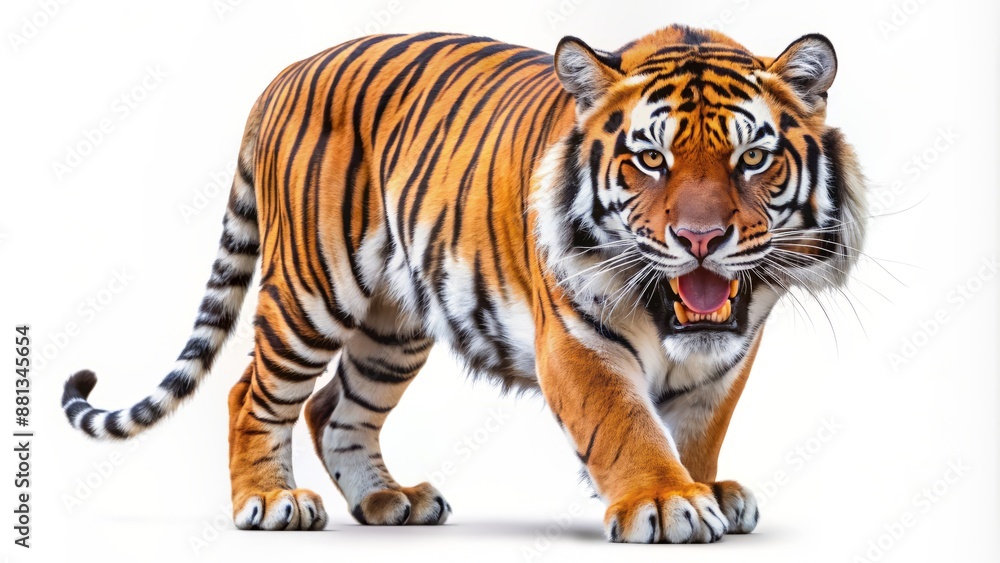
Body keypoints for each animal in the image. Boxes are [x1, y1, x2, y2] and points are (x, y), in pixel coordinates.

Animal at [61, 24, 866, 543]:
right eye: (650, 160)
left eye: (752, 158)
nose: (700, 240)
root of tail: (285, 74)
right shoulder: (575, 337)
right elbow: (627, 423)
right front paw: (667, 502)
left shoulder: (731, 350)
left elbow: (699, 426)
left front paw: (707, 486)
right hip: (311, 293)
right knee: (250, 392)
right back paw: (270, 500)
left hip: (392, 326)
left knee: (335, 408)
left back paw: (389, 500)